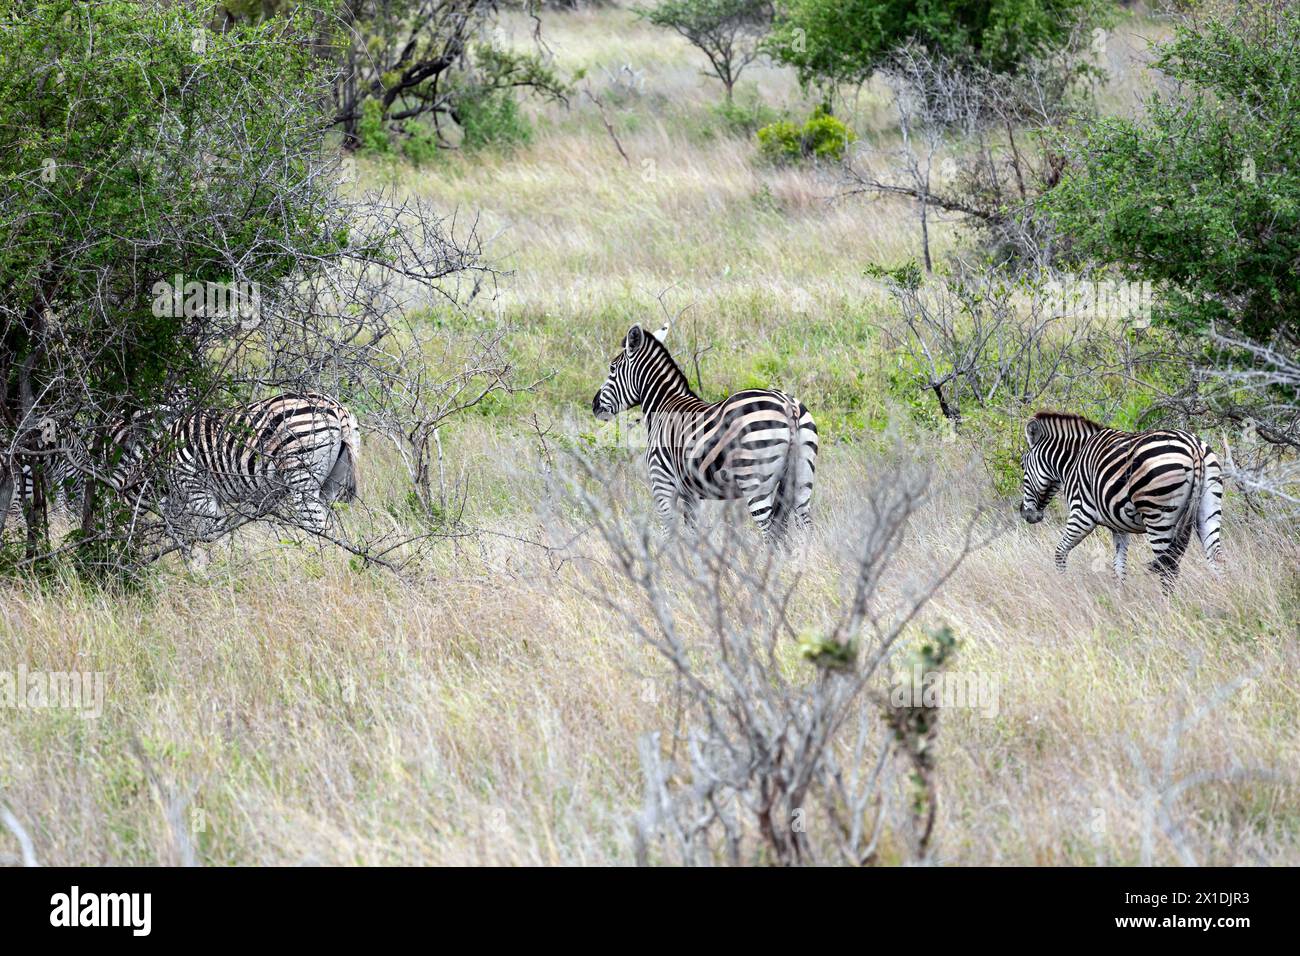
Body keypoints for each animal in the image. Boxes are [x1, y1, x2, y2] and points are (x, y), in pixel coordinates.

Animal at [592, 322, 818, 542]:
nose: (594, 405)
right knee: (806, 528)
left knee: (769, 533)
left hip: (754, 480)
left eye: (612, 368)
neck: (663, 405)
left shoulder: (662, 484)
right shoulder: (690, 494)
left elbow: (668, 535)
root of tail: (788, 404)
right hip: (802, 479)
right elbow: (692, 534)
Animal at [1019, 410, 1223, 588]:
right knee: (1216, 557)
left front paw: (1064, 586)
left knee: (1169, 567)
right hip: (1208, 510)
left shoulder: (1081, 514)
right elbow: (1119, 568)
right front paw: (1120, 600)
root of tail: (1193, 446)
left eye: (1022, 466)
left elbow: (1060, 552)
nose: (1025, 513)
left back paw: (1168, 606)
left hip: (1159, 517)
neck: (1073, 461)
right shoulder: (1119, 526)